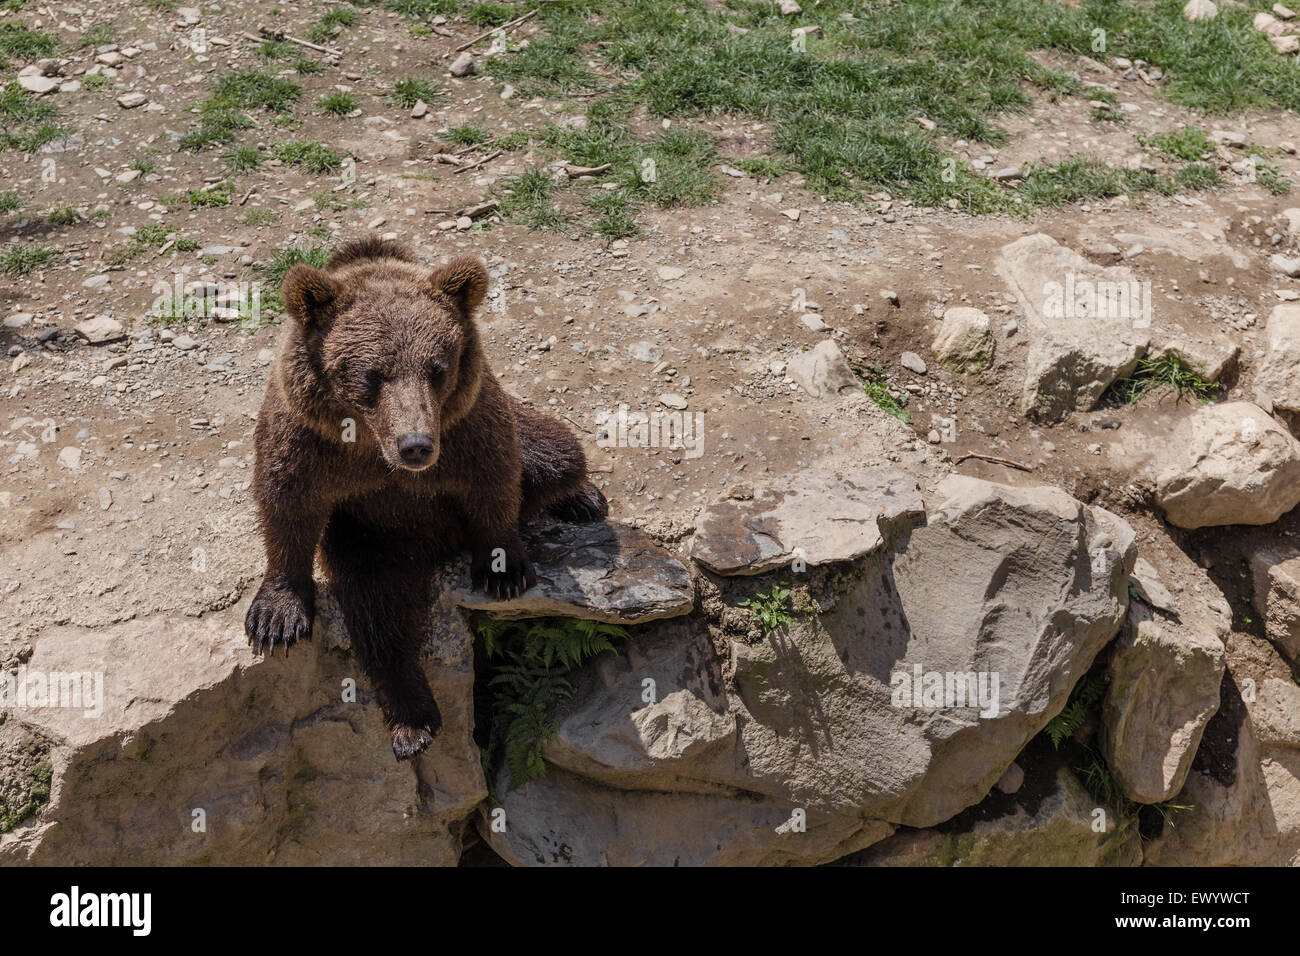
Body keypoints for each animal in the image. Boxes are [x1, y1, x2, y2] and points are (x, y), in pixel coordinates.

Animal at [244, 236, 608, 760]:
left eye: (437, 368)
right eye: (373, 374)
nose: (415, 444)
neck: (369, 447)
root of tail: (440, 544)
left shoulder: (466, 424)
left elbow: (495, 476)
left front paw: (503, 571)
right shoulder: (308, 439)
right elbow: (286, 502)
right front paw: (276, 619)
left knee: (558, 453)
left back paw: (584, 498)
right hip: (373, 537)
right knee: (380, 613)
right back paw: (412, 720)